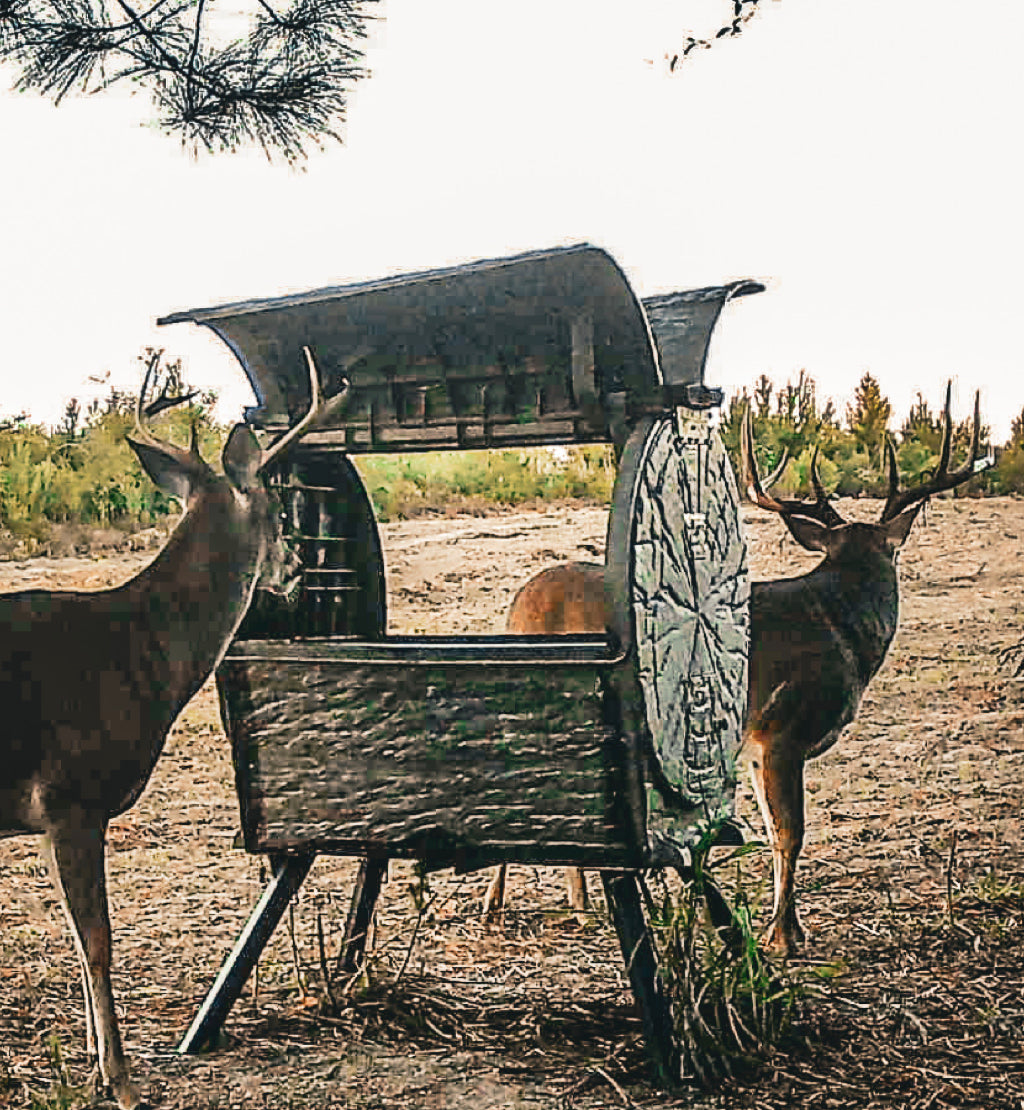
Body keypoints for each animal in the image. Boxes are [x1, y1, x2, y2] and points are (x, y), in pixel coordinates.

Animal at [0, 349, 343, 1109]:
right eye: (278, 515)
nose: (296, 571)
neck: (140, 649)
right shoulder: (71, 798)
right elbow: (97, 940)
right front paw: (122, 1080)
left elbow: (78, 937)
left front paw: (96, 1059)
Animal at [484, 384, 985, 955]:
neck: (843, 628)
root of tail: (517, 601)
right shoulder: (781, 729)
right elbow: (790, 832)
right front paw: (781, 936)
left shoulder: (755, 747)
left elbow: (772, 830)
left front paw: (787, 928)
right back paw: (497, 904)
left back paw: (578, 903)